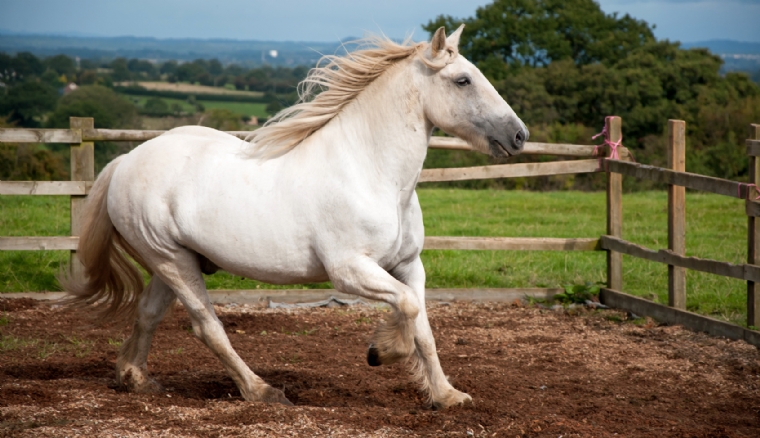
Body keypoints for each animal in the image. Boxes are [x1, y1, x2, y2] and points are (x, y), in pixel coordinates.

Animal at [64, 25, 528, 409]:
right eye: (463, 80)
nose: (519, 135)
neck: (371, 171)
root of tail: (125, 161)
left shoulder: (409, 266)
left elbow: (424, 329)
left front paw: (447, 396)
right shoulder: (349, 270)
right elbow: (409, 310)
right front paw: (380, 352)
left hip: (175, 261)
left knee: (148, 314)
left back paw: (134, 379)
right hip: (171, 261)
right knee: (207, 327)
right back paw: (262, 391)